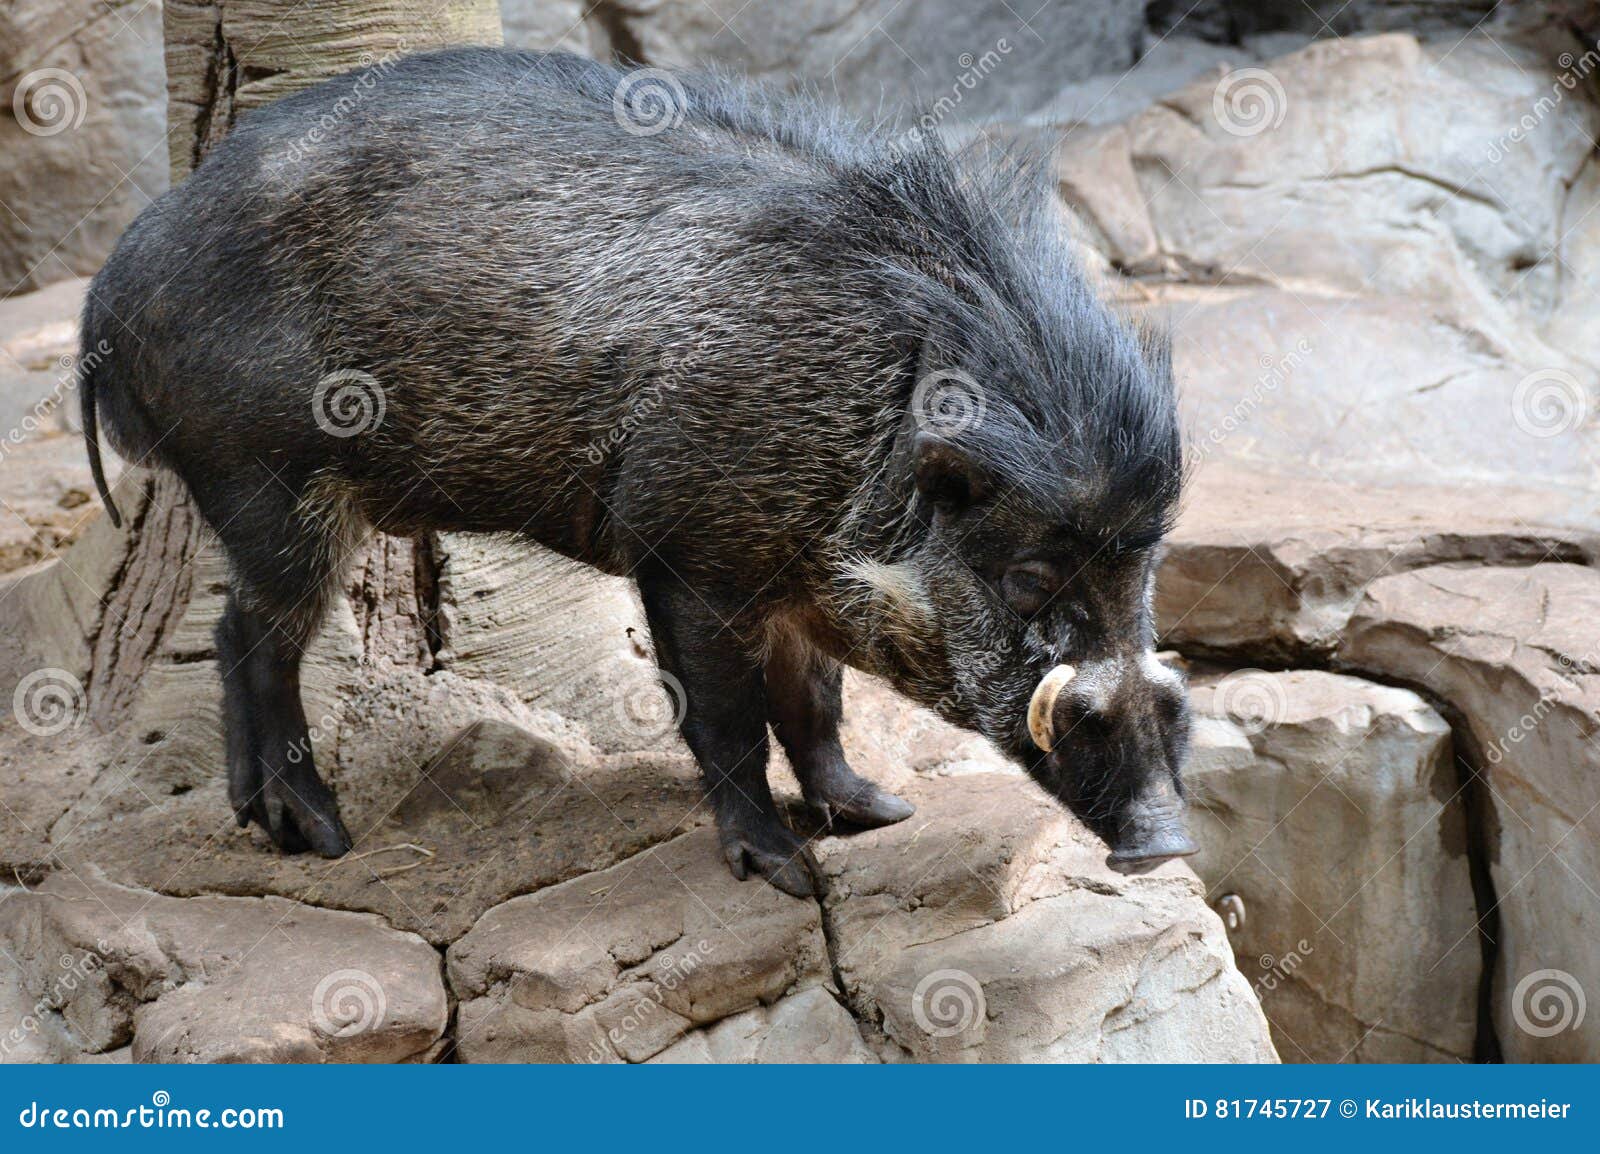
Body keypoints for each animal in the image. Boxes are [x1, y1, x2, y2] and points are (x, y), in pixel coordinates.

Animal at [80, 48, 1193, 897]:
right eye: (1027, 578)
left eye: (1143, 571)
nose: (1166, 842)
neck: (875, 416)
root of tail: (115, 278)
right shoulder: (688, 552)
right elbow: (729, 720)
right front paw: (785, 872)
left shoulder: (800, 578)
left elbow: (816, 705)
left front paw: (880, 812)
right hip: (265, 481)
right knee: (251, 636)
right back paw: (317, 834)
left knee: (239, 633)